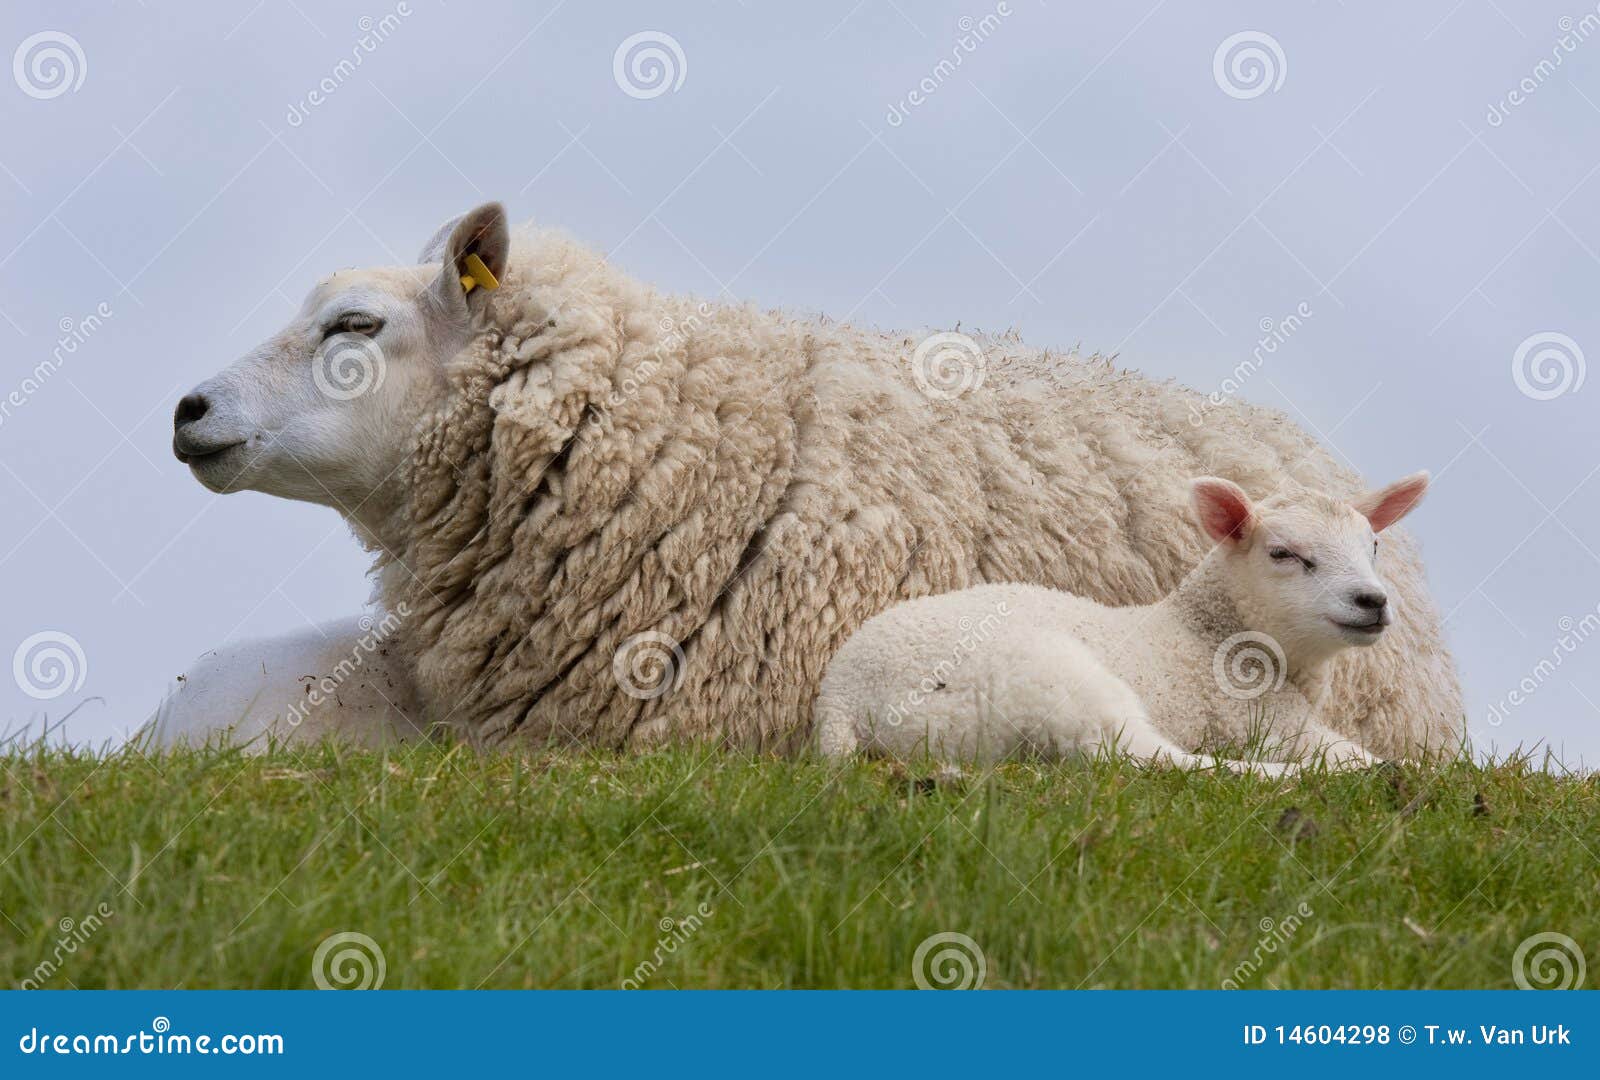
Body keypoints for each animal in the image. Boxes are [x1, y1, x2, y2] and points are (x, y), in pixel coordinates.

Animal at [815, 472, 1431, 773]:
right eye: (1283, 553)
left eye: (1373, 545)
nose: (1372, 601)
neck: (1207, 633)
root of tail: (839, 701)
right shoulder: (1261, 720)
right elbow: (1339, 751)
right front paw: (1396, 768)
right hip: (1046, 679)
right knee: (1141, 758)